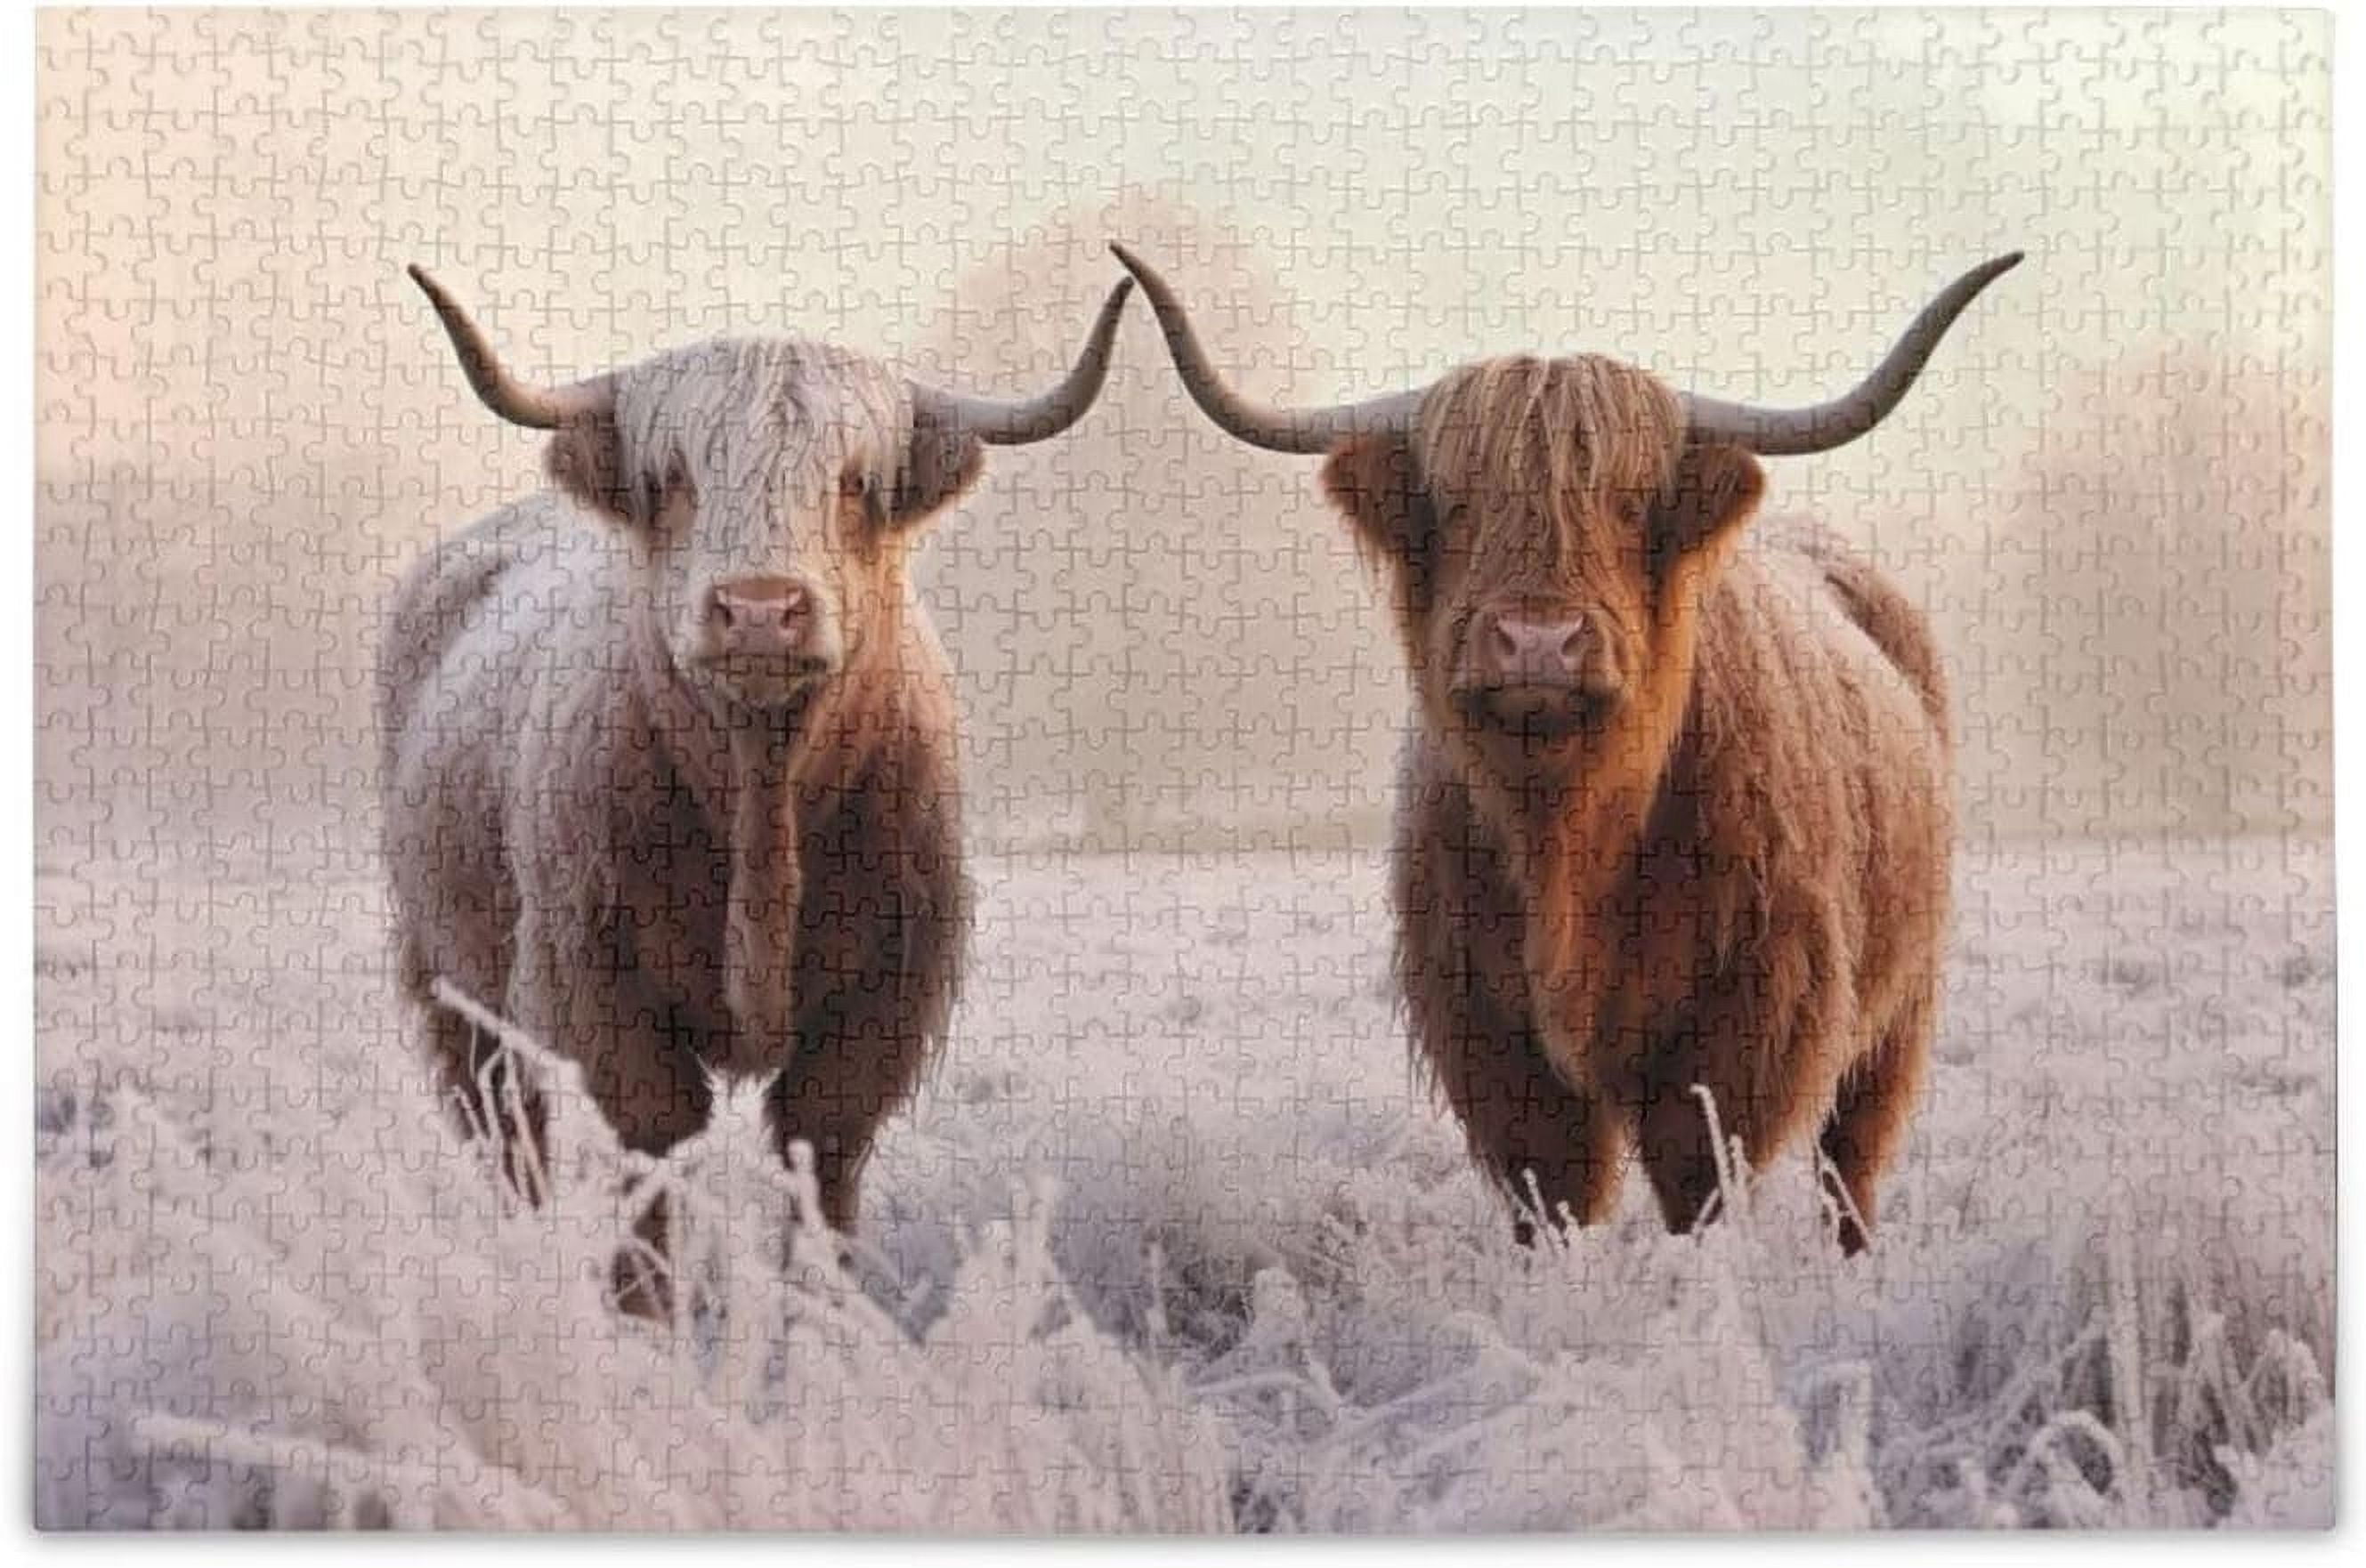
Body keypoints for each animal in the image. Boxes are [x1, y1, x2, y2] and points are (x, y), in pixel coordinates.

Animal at [379, 268, 1132, 1287]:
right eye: (674, 480)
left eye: (854, 483)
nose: (761, 610)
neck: (762, 792)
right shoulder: (596, 986)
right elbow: (649, 1165)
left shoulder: (885, 995)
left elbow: (821, 1159)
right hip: (448, 980)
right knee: (508, 1133)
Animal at [1111, 242, 2018, 1252]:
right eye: (1459, 502)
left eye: (1628, 503)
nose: (1537, 642)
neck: (1568, 834)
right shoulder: (1492, 1037)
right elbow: (1554, 1199)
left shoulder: (1748, 1023)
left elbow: (1701, 1189)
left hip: (1901, 1011)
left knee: (1849, 1165)